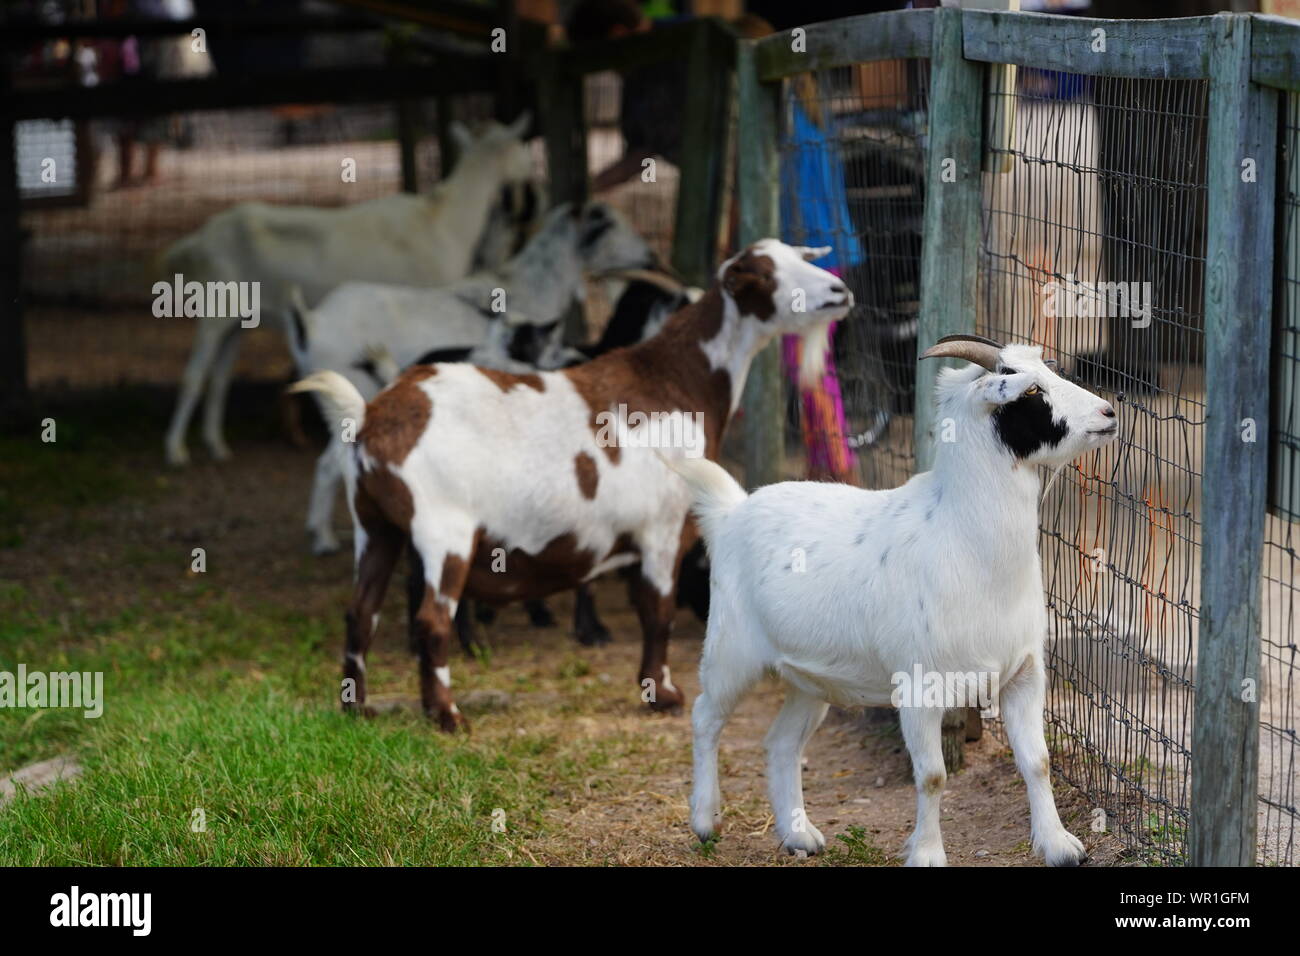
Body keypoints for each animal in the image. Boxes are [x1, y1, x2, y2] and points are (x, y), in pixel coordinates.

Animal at [163, 114, 535, 466]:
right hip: (215, 308)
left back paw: (216, 446)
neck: (444, 223)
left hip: (237, 321)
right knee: (194, 375)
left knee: (219, 379)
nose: (532, 180)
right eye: (521, 145)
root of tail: (200, 239)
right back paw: (176, 451)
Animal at [290, 239, 853, 731]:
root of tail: (369, 416)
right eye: (765, 275)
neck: (677, 380)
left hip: (374, 525)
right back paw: (447, 715)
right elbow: (658, 612)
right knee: (431, 620)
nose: (839, 292)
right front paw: (662, 695)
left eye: (802, 256)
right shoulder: (662, 527)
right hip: (441, 529)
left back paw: (356, 708)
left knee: (360, 612)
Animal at [665, 334, 1117, 865]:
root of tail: (731, 510)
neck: (966, 543)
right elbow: (933, 775)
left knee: (781, 742)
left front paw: (1058, 844)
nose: (1108, 412)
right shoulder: (919, 687)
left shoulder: (1022, 674)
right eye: (1029, 392)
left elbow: (1038, 762)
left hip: (810, 678)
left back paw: (799, 835)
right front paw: (927, 853)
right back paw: (704, 820)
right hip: (731, 649)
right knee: (705, 717)